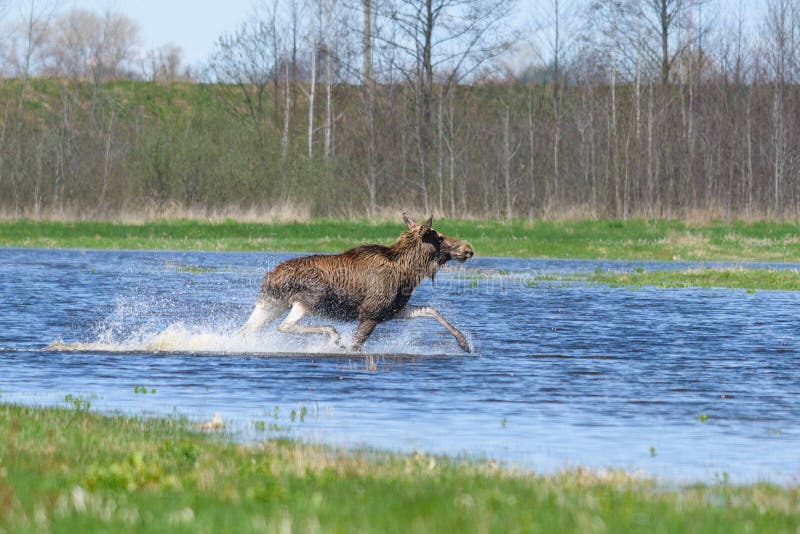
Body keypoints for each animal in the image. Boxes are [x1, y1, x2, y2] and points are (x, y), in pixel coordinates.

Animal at [240, 213, 474, 352]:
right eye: (440, 237)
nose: (468, 248)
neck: (409, 274)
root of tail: (271, 277)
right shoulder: (371, 313)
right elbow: (355, 346)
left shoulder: (391, 310)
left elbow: (430, 310)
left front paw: (464, 343)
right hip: (310, 298)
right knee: (284, 325)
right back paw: (333, 334)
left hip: (271, 303)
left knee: (244, 330)